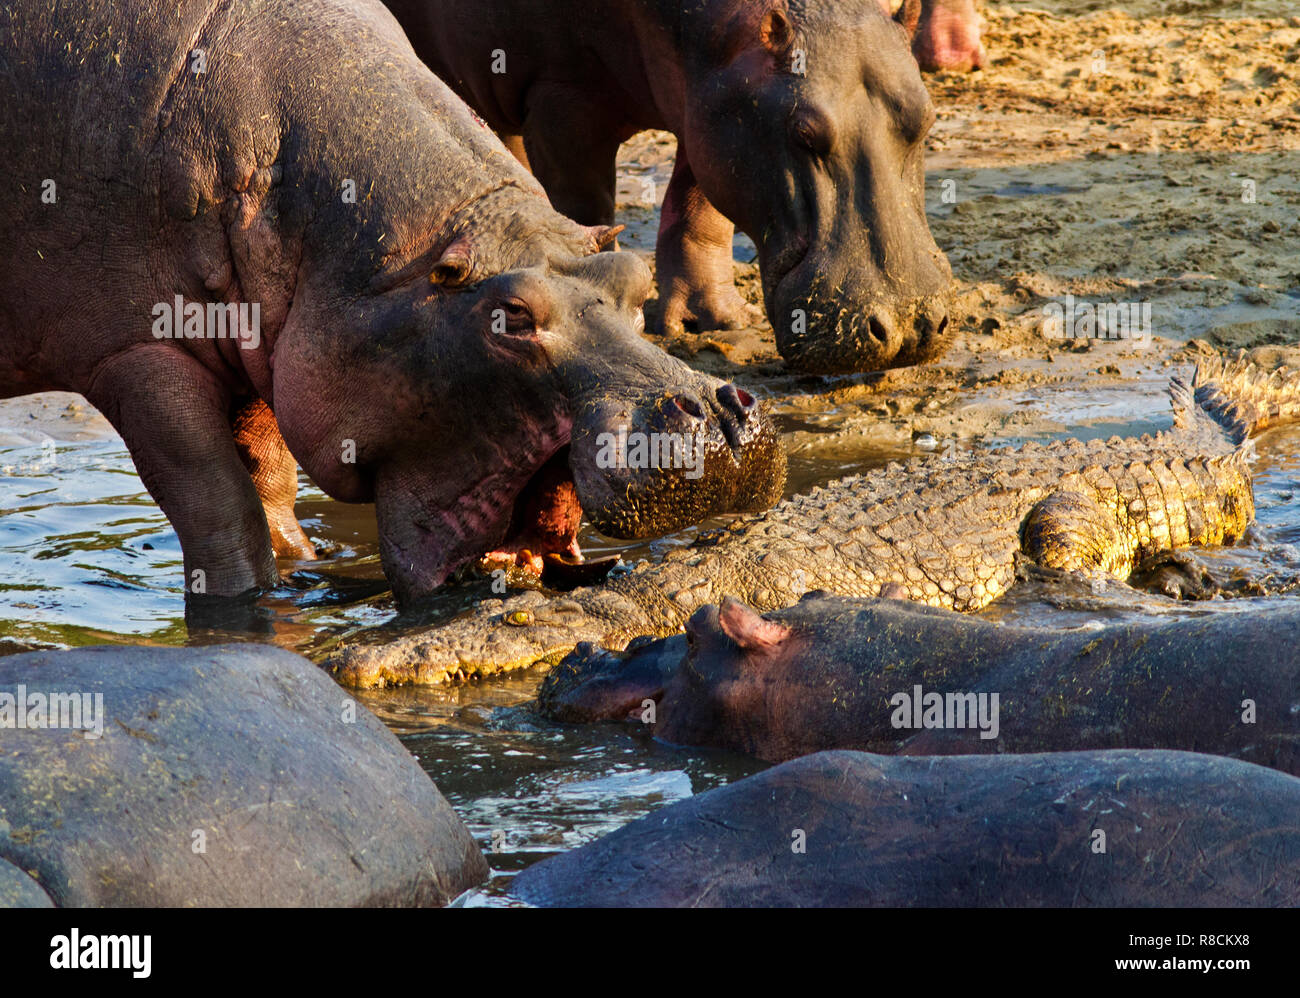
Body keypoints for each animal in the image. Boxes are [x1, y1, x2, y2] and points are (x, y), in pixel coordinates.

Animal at [0, 0, 784, 608]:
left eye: (631, 278)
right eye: (512, 315)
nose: (720, 417)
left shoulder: (266, 334)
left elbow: (269, 475)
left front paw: (303, 570)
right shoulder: (136, 351)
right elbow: (216, 502)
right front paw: (245, 606)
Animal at [383, 0, 954, 373]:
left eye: (926, 117)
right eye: (803, 133)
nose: (911, 326)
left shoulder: (707, 111)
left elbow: (699, 212)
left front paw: (714, 322)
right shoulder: (561, 98)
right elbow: (584, 206)